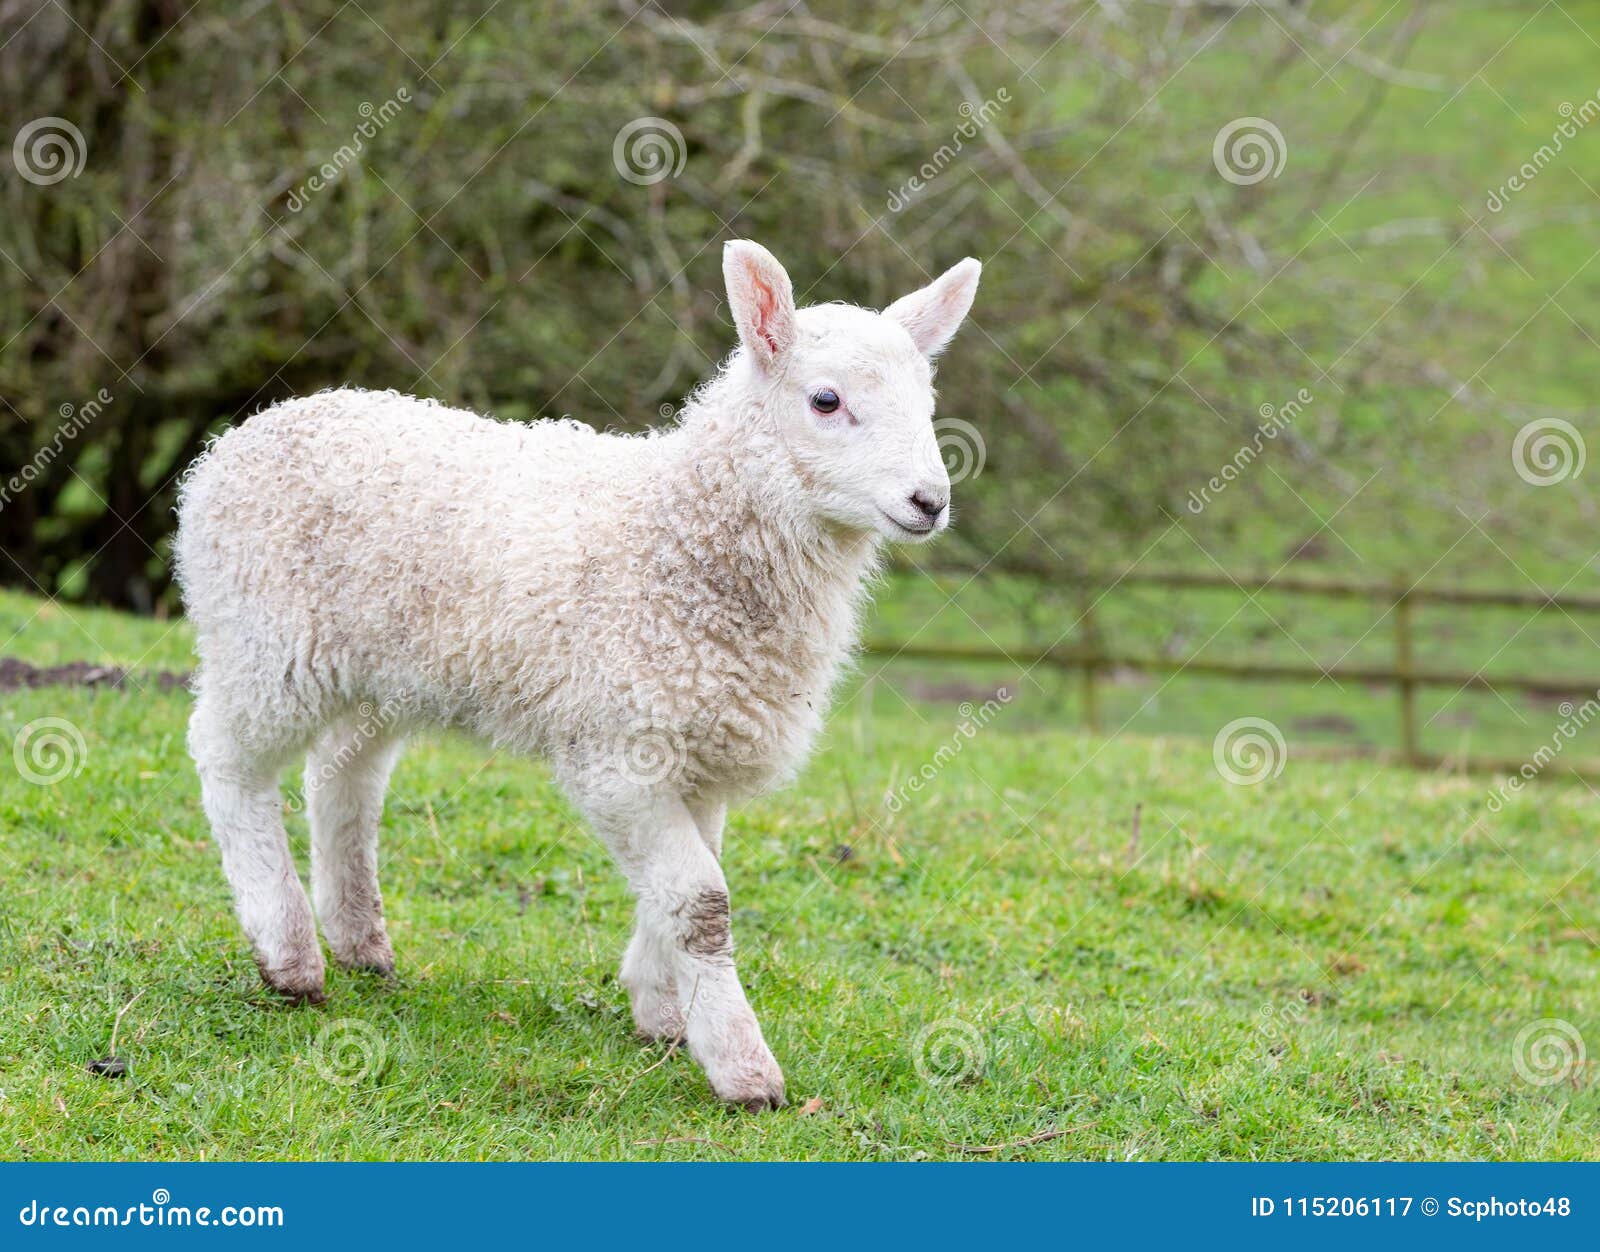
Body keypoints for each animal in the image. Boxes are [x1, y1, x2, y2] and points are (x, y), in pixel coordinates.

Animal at [174, 240, 981, 1110]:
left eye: (928, 403)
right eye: (825, 401)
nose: (929, 501)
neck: (679, 535)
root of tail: (242, 438)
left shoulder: (700, 743)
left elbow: (691, 882)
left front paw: (662, 1011)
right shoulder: (619, 748)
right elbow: (702, 901)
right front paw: (743, 1068)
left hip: (385, 667)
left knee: (342, 776)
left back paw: (360, 939)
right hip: (266, 641)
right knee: (228, 759)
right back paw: (288, 951)